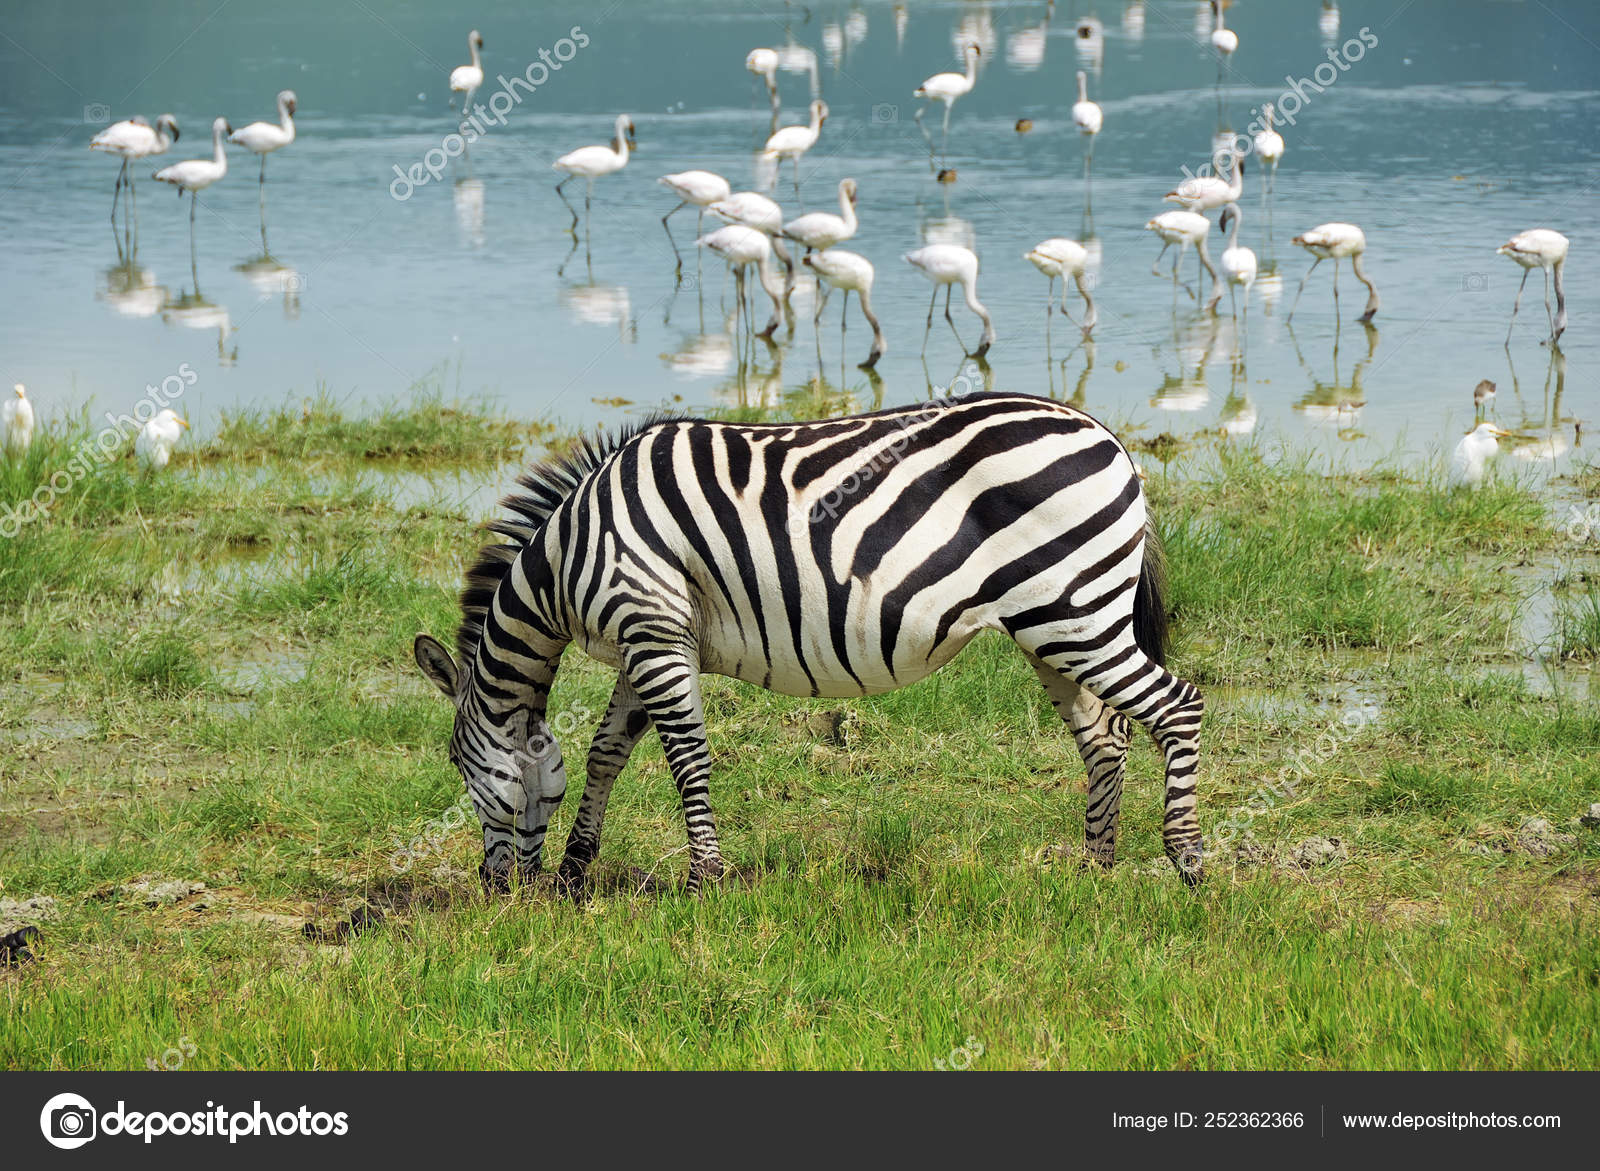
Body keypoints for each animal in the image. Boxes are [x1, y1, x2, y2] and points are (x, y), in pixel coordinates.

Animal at [413, 391, 1205, 893]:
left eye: (456, 763)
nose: (495, 889)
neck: (566, 557)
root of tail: (1109, 439)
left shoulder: (654, 630)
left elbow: (687, 758)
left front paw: (704, 881)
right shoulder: (653, 636)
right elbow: (607, 750)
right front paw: (577, 870)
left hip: (1077, 613)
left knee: (1178, 707)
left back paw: (1189, 861)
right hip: (1055, 624)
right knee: (1105, 739)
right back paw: (1095, 869)